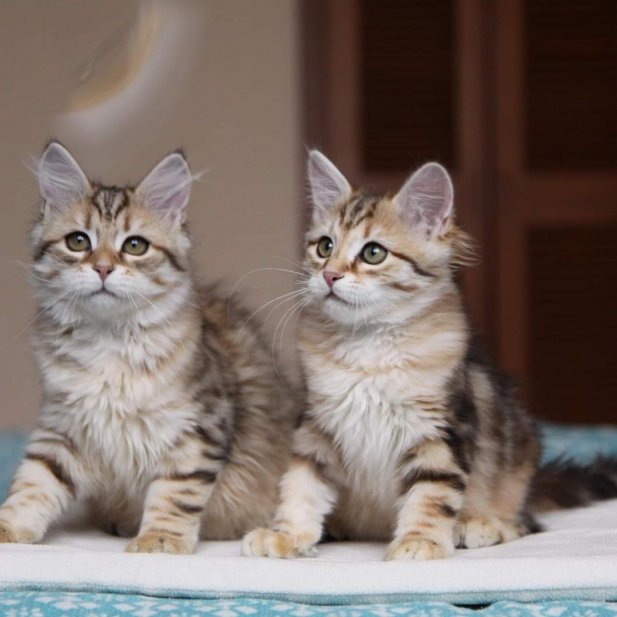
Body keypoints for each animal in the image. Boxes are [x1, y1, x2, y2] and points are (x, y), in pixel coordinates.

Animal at [0, 141, 292, 552]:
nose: (103, 268)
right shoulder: (63, 428)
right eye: (78, 241)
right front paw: (7, 527)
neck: (108, 341)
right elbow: (32, 485)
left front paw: (159, 539)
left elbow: (175, 493)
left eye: (135, 246)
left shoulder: (197, 428)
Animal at [244, 149, 616, 560]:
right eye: (324, 247)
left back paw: (481, 525)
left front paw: (419, 541)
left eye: (373, 253)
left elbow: (430, 494)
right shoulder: (317, 426)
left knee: (527, 523)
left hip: (520, 455)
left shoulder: (439, 429)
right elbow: (301, 486)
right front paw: (287, 535)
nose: (329, 276)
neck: (367, 348)